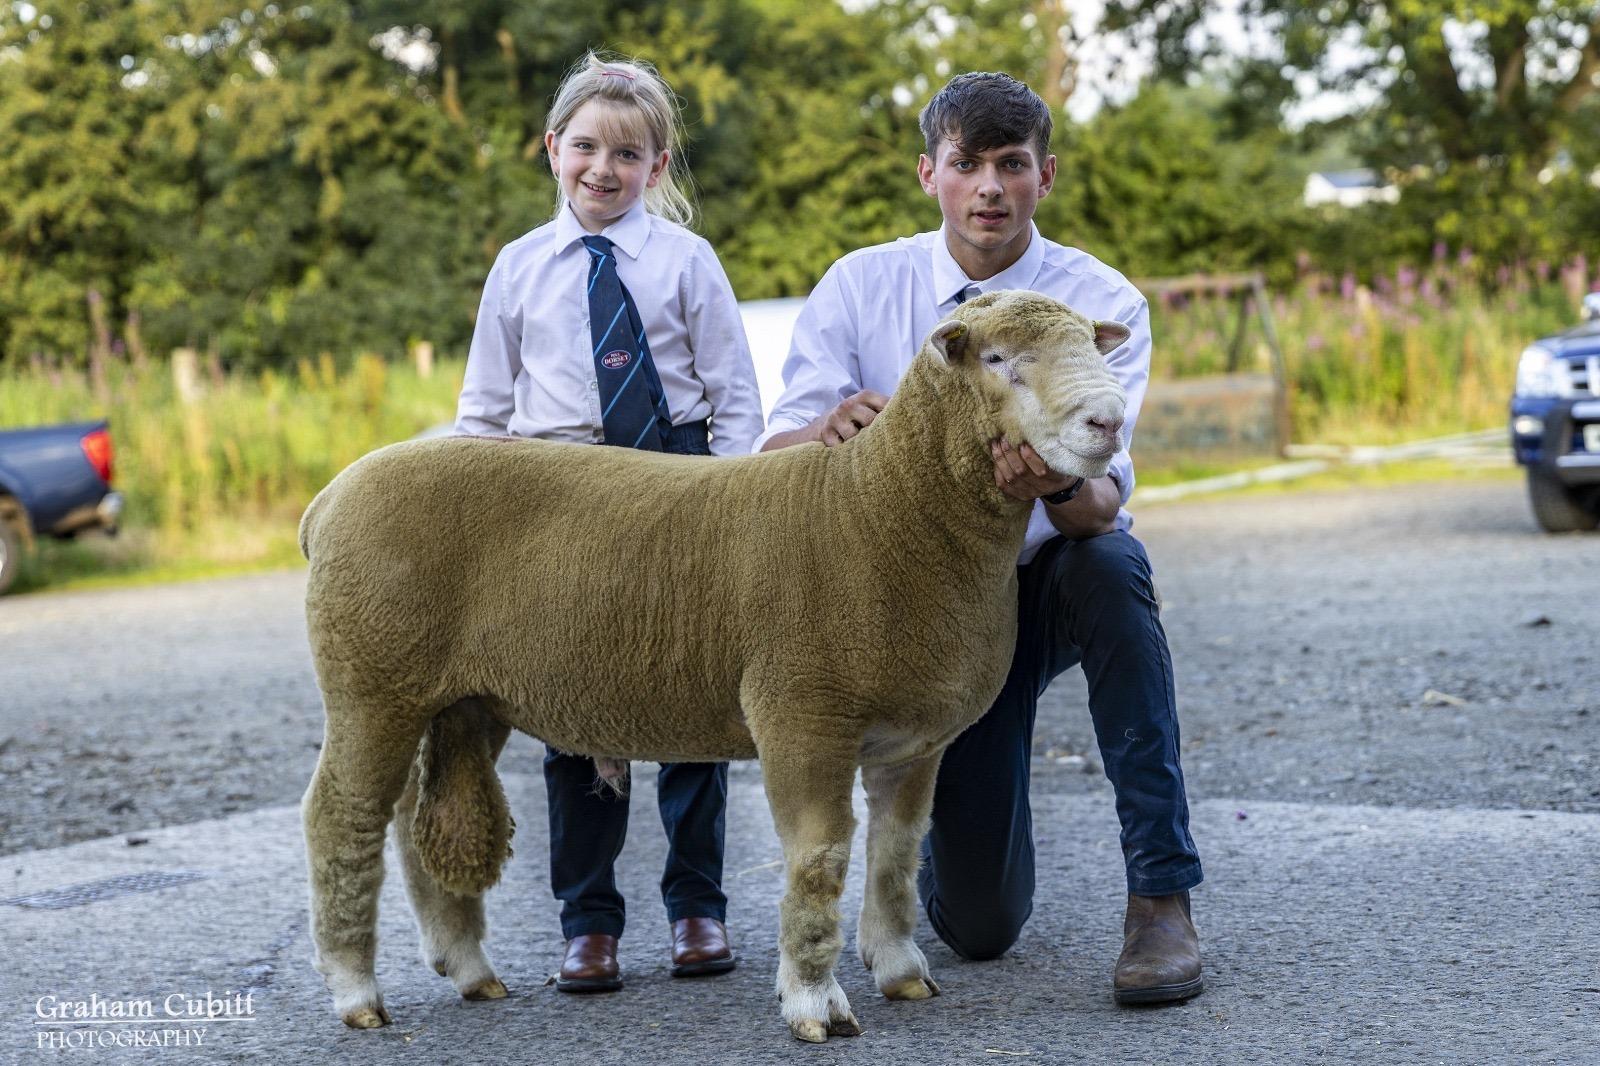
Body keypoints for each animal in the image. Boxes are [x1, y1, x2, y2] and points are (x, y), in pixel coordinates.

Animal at [298, 290, 1130, 1044]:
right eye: (997, 360)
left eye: (1093, 345)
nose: (1109, 420)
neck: (880, 509)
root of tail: (328, 499)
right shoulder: (802, 712)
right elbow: (820, 858)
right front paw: (814, 1005)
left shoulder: (913, 739)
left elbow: (895, 853)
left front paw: (899, 971)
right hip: (369, 678)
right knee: (343, 818)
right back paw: (356, 994)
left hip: (457, 697)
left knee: (412, 822)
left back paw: (469, 969)